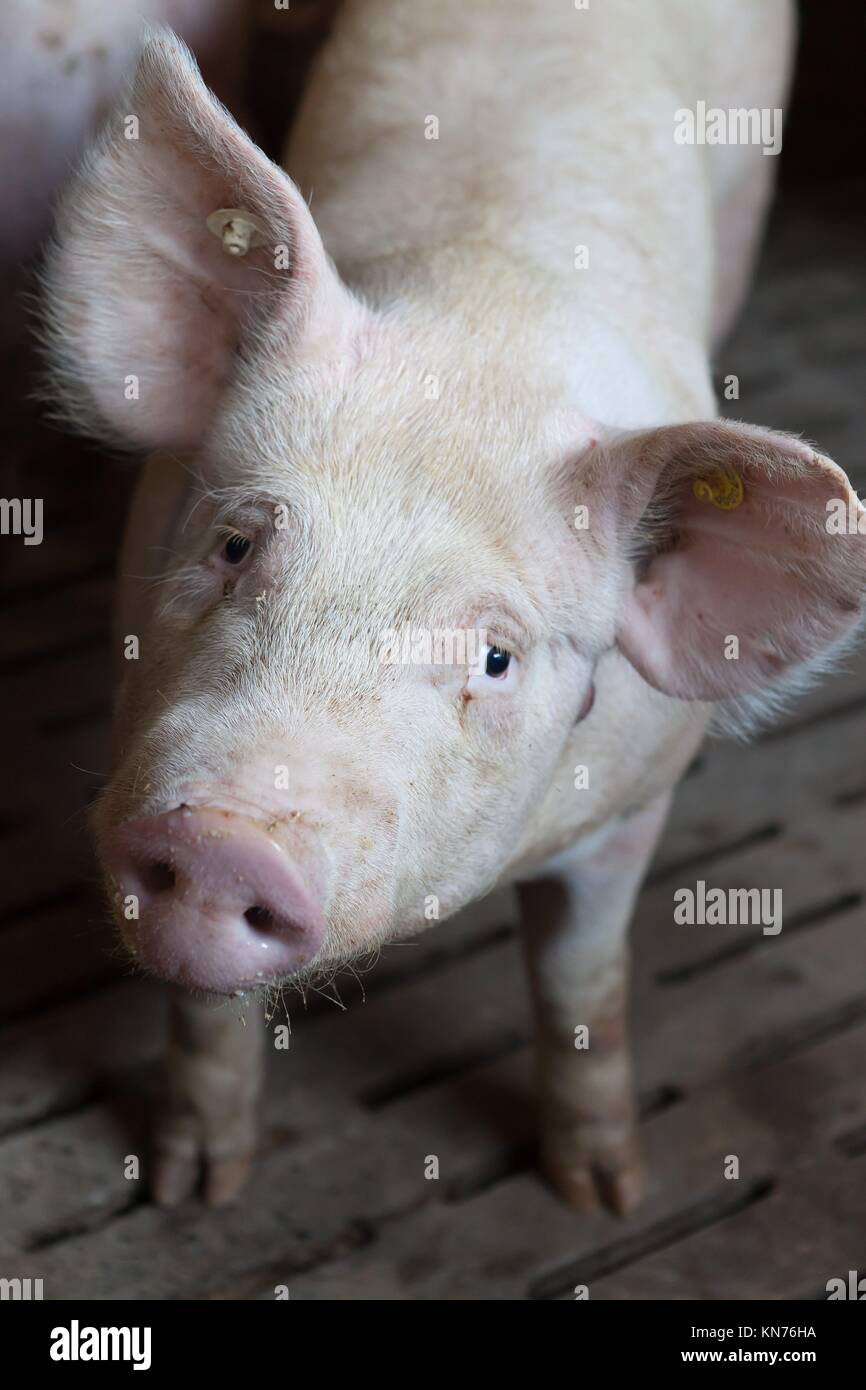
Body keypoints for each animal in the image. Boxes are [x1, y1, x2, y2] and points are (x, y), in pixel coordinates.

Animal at [39, 0, 866, 1214]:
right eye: (235, 544)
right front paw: (195, 1188)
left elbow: (580, 981)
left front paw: (604, 1191)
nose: (225, 841)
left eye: (493, 658)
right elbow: (203, 1009)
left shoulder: (633, 804)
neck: (489, 315)